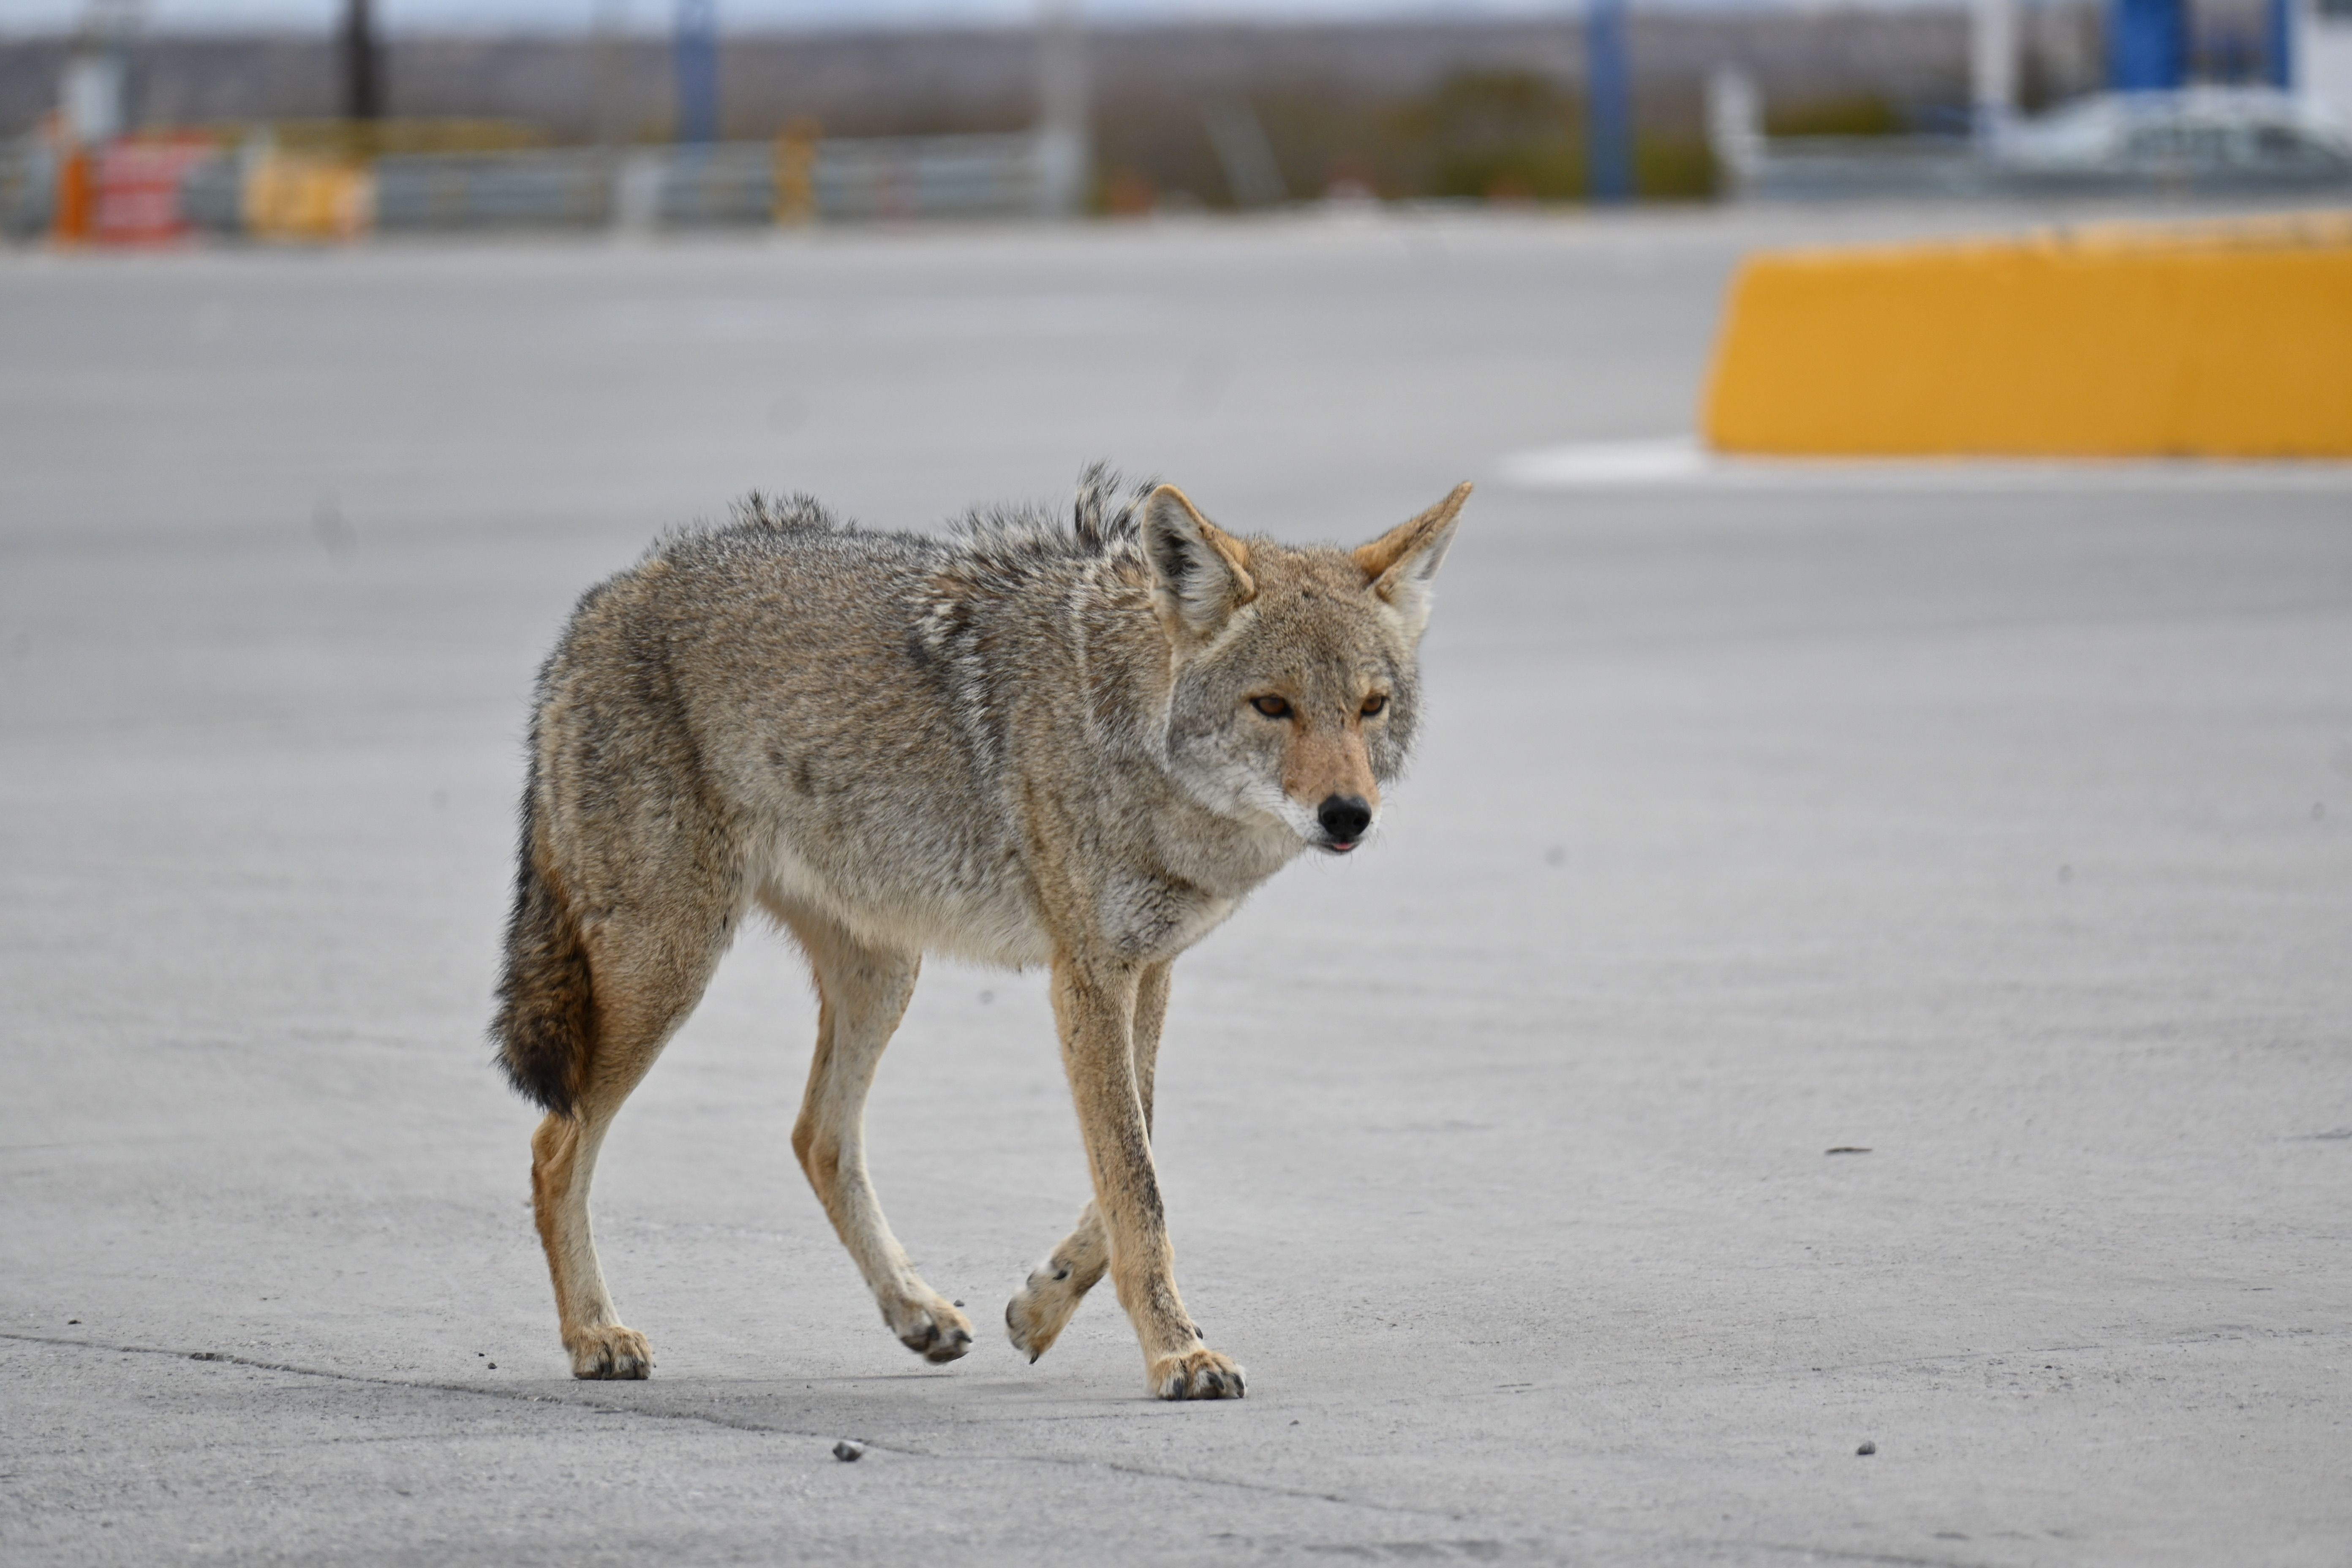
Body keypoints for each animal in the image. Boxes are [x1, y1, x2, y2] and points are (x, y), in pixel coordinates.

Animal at [493, 466, 1469, 1400]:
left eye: (1370, 706)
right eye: (1272, 706)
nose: (1347, 815)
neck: (1131, 741)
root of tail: (608, 596)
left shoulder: (1147, 969)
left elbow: (1135, 1155)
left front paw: (1042, 1304)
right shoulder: (1088, 974)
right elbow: (1137, 1184)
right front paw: (1177, 1353)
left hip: (885, 972)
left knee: (817, 1136)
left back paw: (916, 1310)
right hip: (667, 971)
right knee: (553, 1147)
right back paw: (595, 1334)